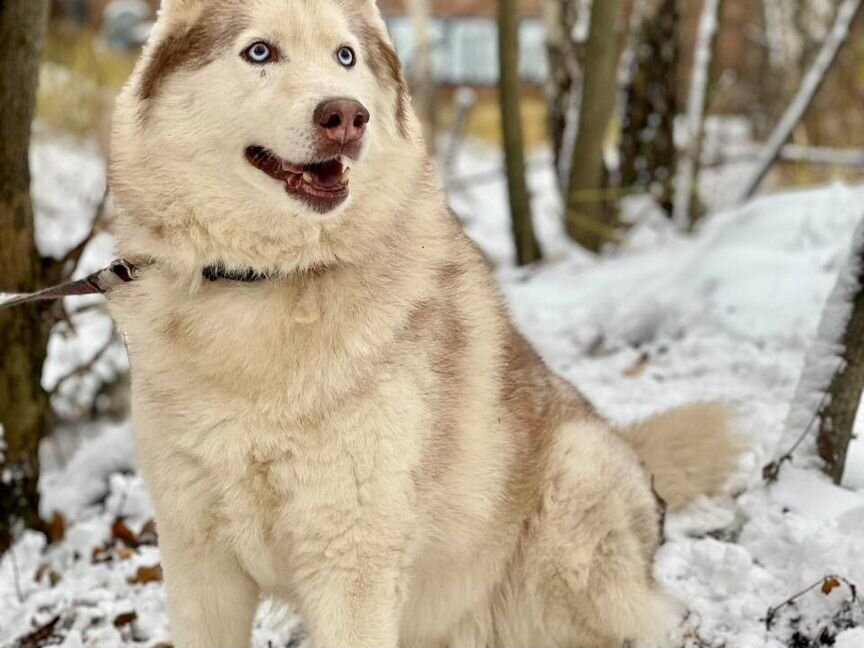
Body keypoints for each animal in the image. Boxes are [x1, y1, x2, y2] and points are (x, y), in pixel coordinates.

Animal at [108, 1, 740, 648]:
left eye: (345, 56)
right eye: (260, 51)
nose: (345, 117)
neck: (266, 281)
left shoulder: (353, 558)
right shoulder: (197, 561)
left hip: (573, 508)